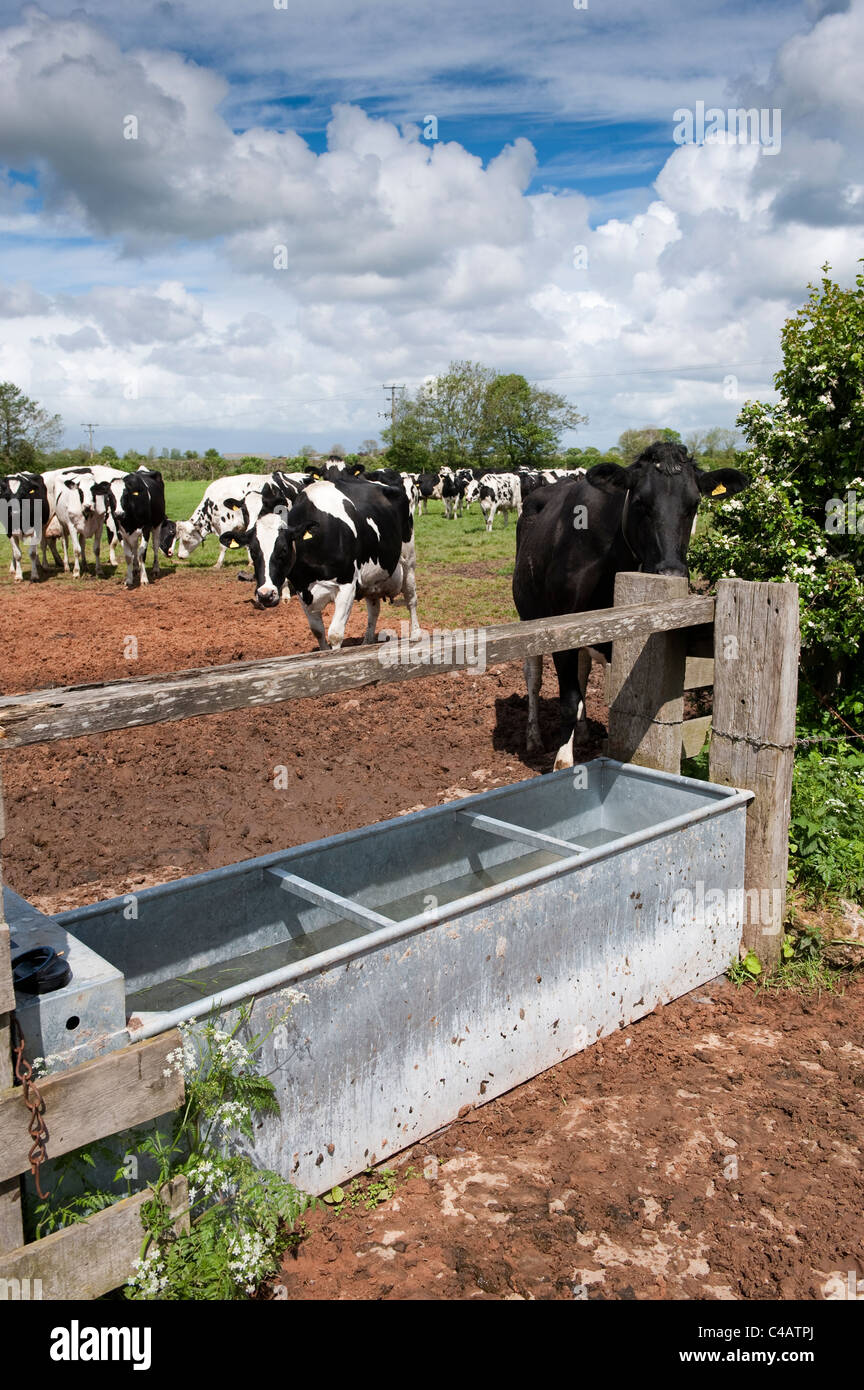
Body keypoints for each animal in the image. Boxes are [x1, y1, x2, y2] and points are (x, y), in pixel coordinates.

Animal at [225, 475, 421, 650]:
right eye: (253, 551)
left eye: (283, 550)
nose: (265, 595)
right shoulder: (302, 590)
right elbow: (318, 631)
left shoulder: (347, 586)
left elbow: (335, 634)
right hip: (372, 578)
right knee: (374, 609)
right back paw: (367, 642)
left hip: (408, 561)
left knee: (411, 599)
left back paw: (415, 635)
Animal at [512, 441, 749, 769]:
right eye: (640, 502)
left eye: (694, 504)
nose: (671, 572)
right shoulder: (560, 632)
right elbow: (568, 700)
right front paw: (563, 763)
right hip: (528, 616)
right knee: (533, 676)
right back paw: (533, 737)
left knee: (583, 673)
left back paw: (582, 732)